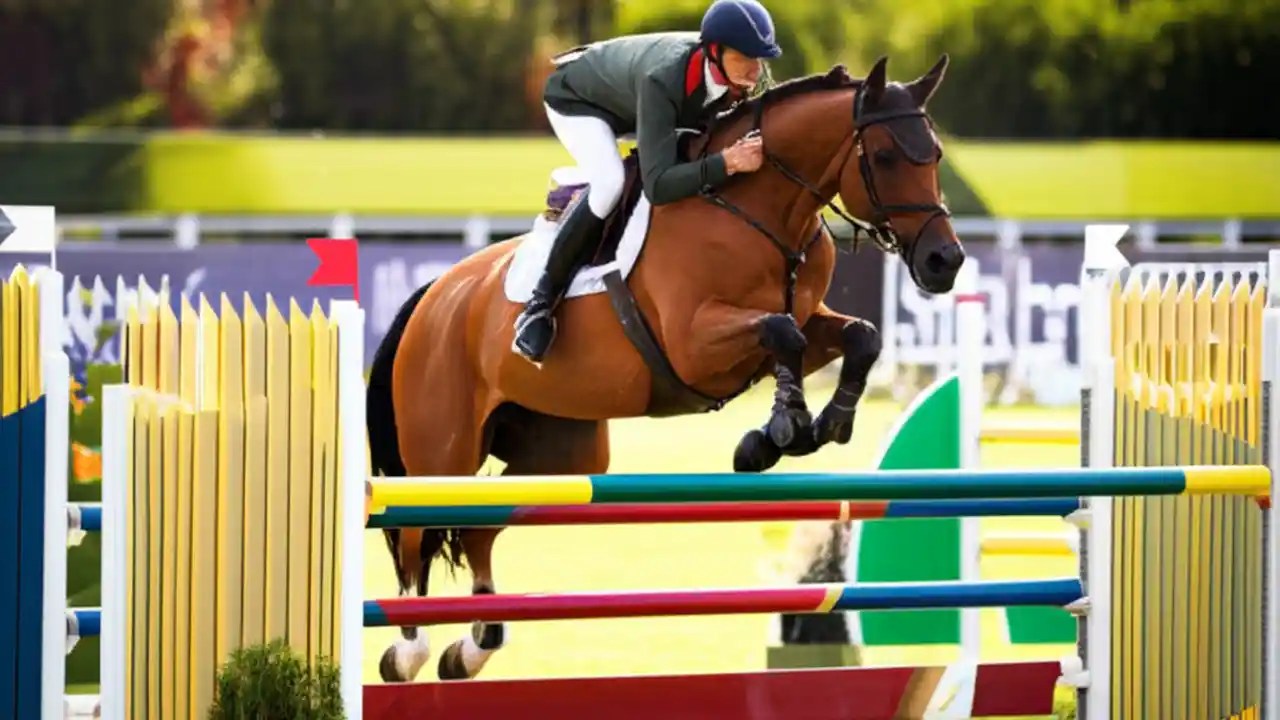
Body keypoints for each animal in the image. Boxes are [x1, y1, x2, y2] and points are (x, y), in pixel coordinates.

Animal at [365, 54, 965, 683]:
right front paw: (784, 427)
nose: (944, 261)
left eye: (935, 155)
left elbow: (855, 336)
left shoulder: (804, 321)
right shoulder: (691, 342)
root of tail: (434, 294)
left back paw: (473, 647)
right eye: (885, 156)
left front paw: (814, 427)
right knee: (413, 535)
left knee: (479, 530)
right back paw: (408, 649)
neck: (759, 209)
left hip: (560, 456)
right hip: (442, 453)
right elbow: (783, 332)